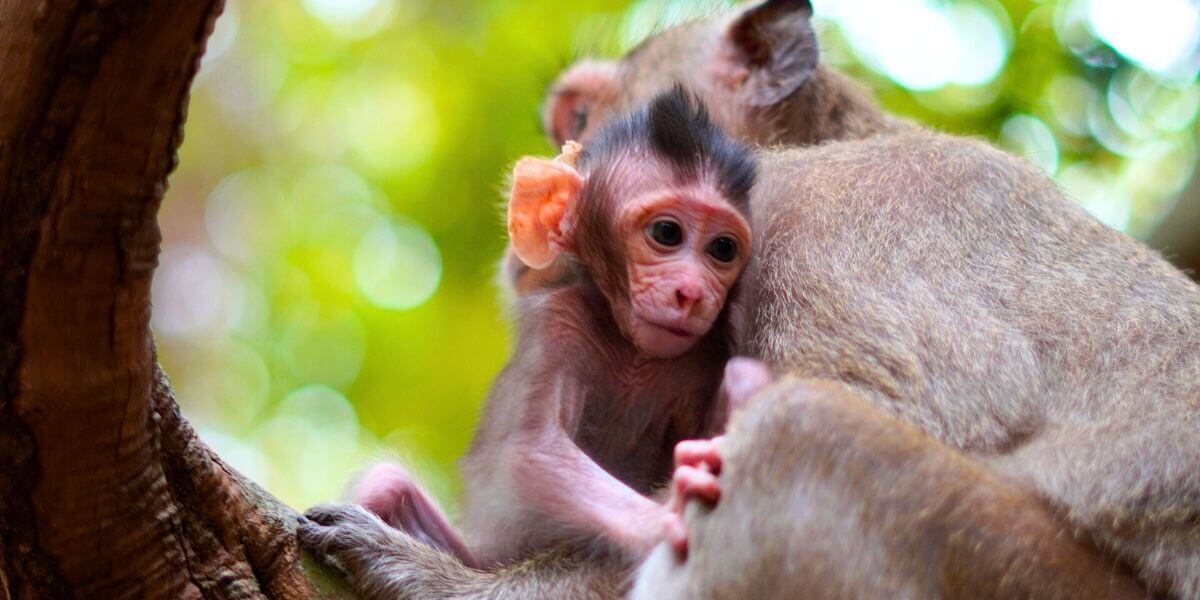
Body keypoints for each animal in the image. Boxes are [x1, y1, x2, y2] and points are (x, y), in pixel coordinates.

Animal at [334, 88, 760, 571]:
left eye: (722, 248)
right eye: (667, 233)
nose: (692, 293)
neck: (634, 351)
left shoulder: (701, 357)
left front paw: (740, 401)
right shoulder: (559, 323)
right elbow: (532, 451)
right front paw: (658, 520)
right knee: (384, 483)